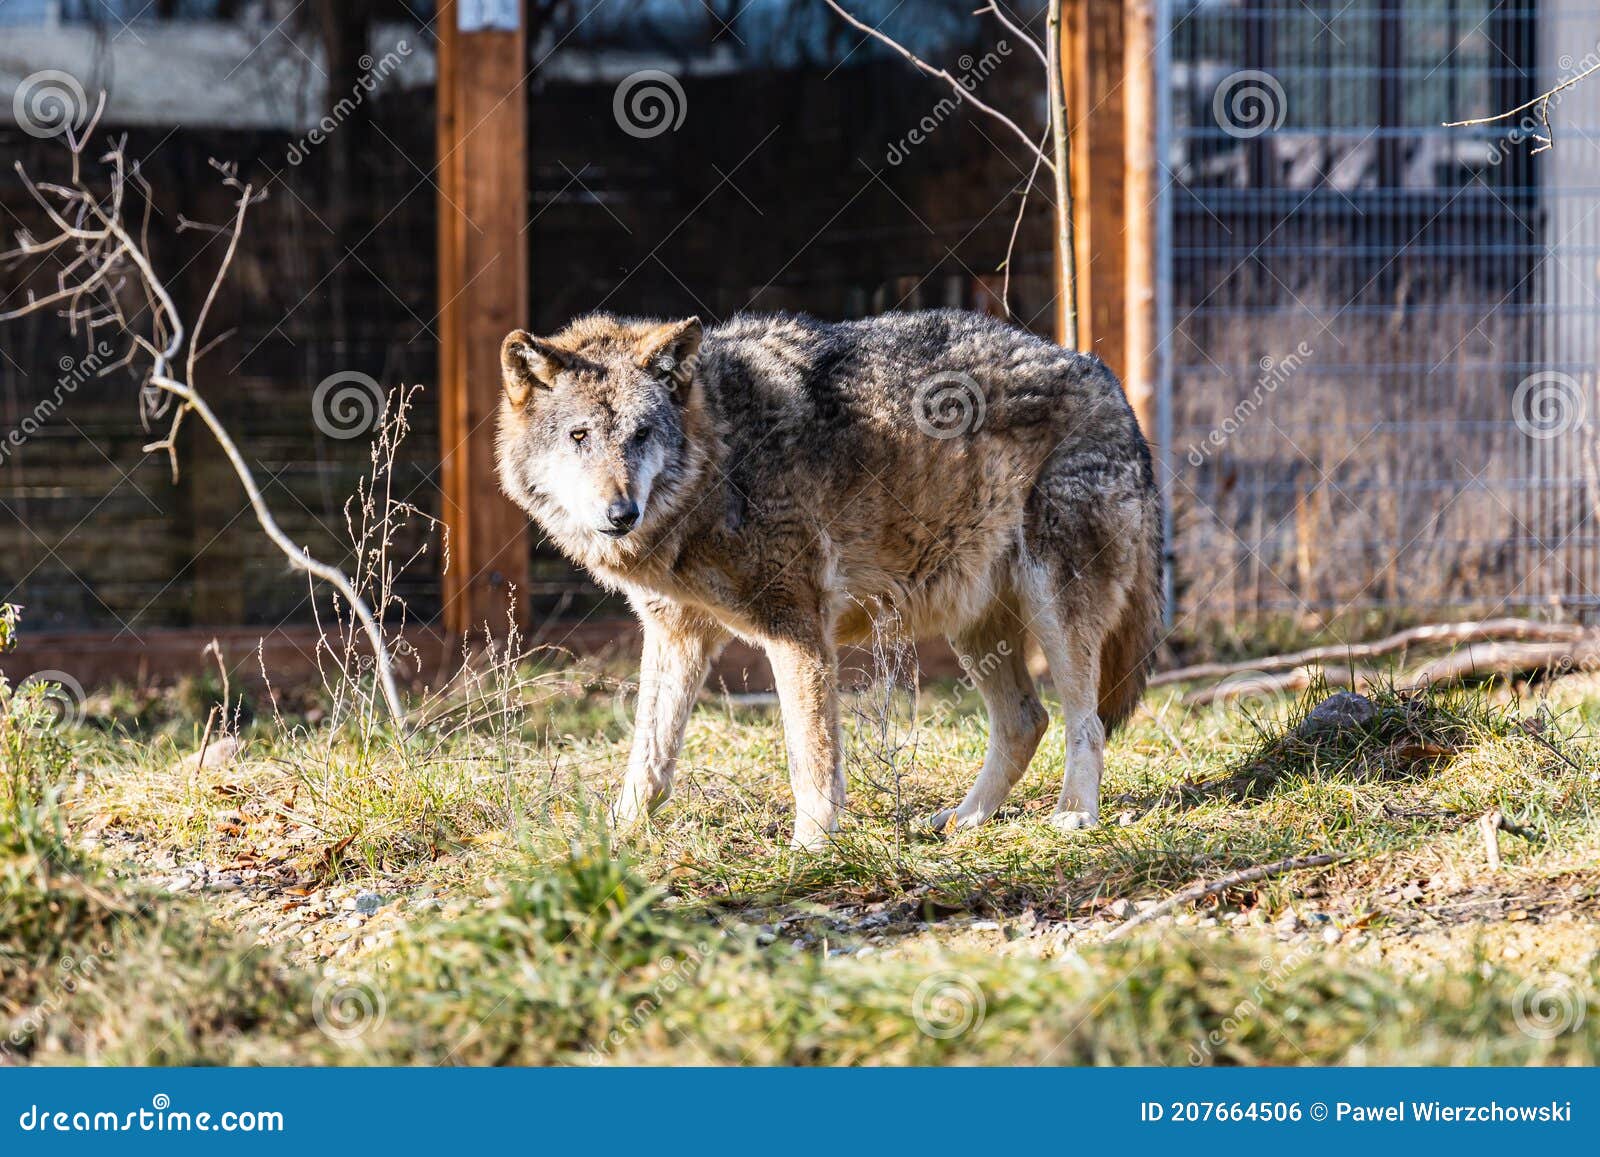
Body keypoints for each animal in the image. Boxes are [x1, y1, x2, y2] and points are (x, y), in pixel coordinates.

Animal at [496, 309, 1162, 849]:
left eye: (641, 435)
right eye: (580, 436)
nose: (621, 513)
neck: (720, 460)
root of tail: (1109, 380)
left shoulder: (796, 625)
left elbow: (810, 753)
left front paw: (813, 846)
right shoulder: (677, 633)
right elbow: (649, 758)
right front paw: (615, 836)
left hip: (1053, 610)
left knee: (1086, 723)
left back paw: (1074, 814)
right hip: (972, 625)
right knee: (1027, 721)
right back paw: (965, 819)